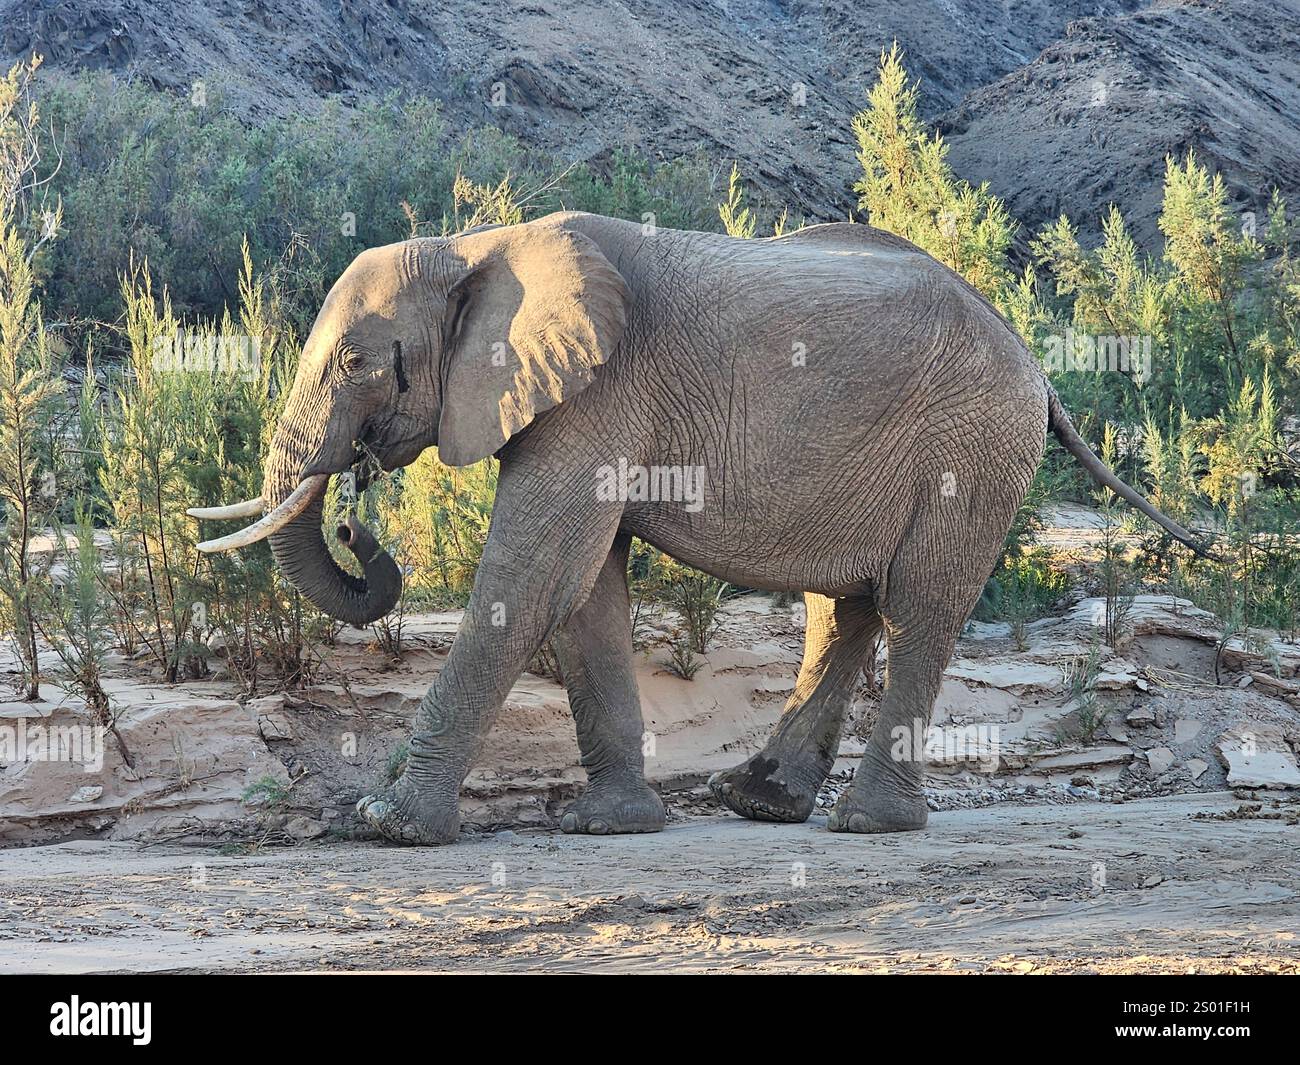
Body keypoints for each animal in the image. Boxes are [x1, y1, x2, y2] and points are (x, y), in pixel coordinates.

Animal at [190, 211, 1209, 844]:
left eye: (358, 363)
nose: (358, 522)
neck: (476, 245)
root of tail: (1035, 363)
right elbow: (585, 591)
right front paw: (609, 824)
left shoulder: (599, 392)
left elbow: (536, 576)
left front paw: (388, 823)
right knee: (846, 606)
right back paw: (755, 801)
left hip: (974, 445)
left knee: (920, 605)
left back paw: (865, 823)